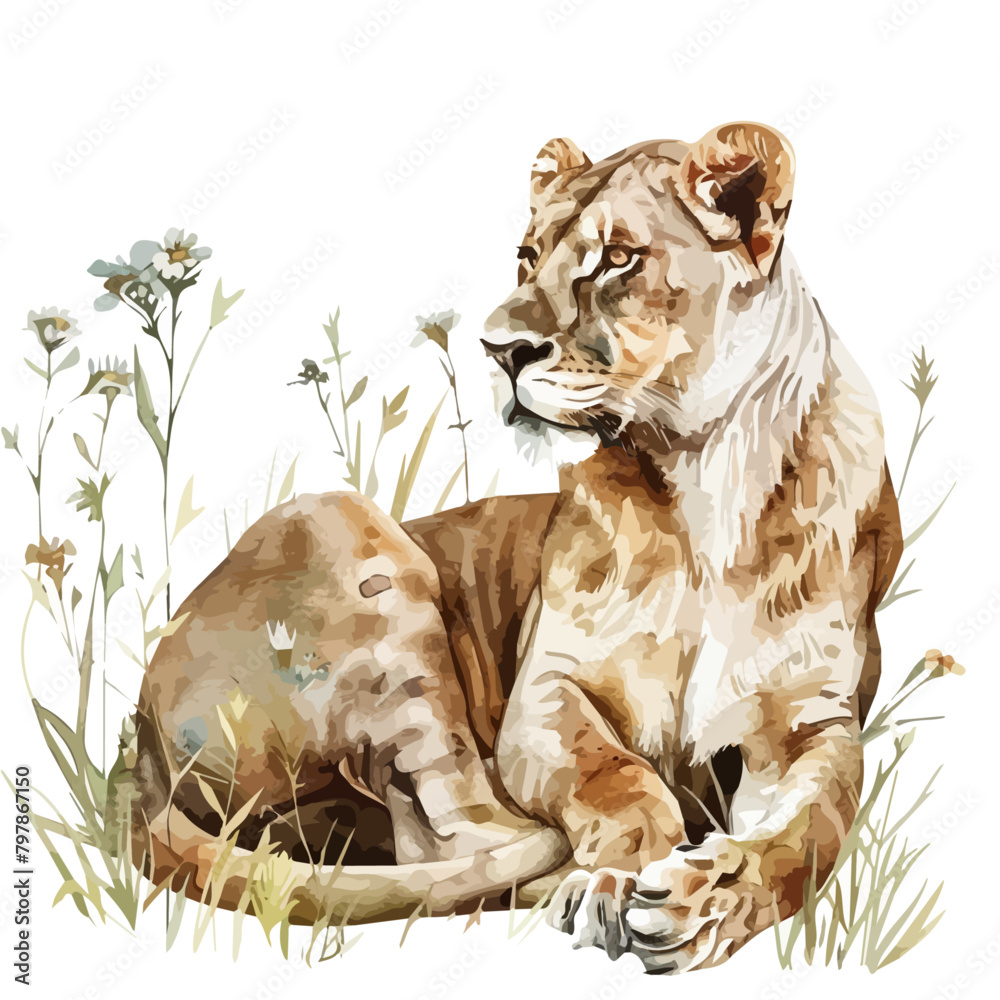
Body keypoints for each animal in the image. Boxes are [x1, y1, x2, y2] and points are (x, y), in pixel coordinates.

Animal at [116, 121, 902, 974]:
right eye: (528, 255)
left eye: (617, 258)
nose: (498, 349)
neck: (703, 480)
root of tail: (140, 736)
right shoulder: (546, 693)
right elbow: (618, 778)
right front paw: (615, 881)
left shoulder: (811, 724)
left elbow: (807, 835)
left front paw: (705, 904)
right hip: (345, 530)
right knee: (448, 838)